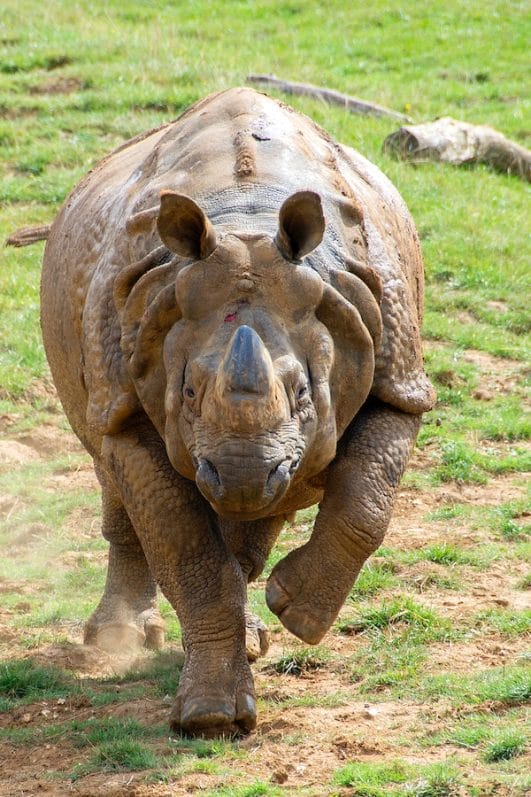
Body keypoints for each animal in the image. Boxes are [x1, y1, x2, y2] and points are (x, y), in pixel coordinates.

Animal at [39, 87, 435, 736]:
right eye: (187, 394)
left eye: (303, 394)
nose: (243, 473)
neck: (245, 221)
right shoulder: (125, 400)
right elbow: (184, 546)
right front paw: (211, 719)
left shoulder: (398, 377)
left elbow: (365, 504)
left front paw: (294, 610)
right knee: (109, 470)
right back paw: (122, 638)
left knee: (264, 515)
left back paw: (255, 625)